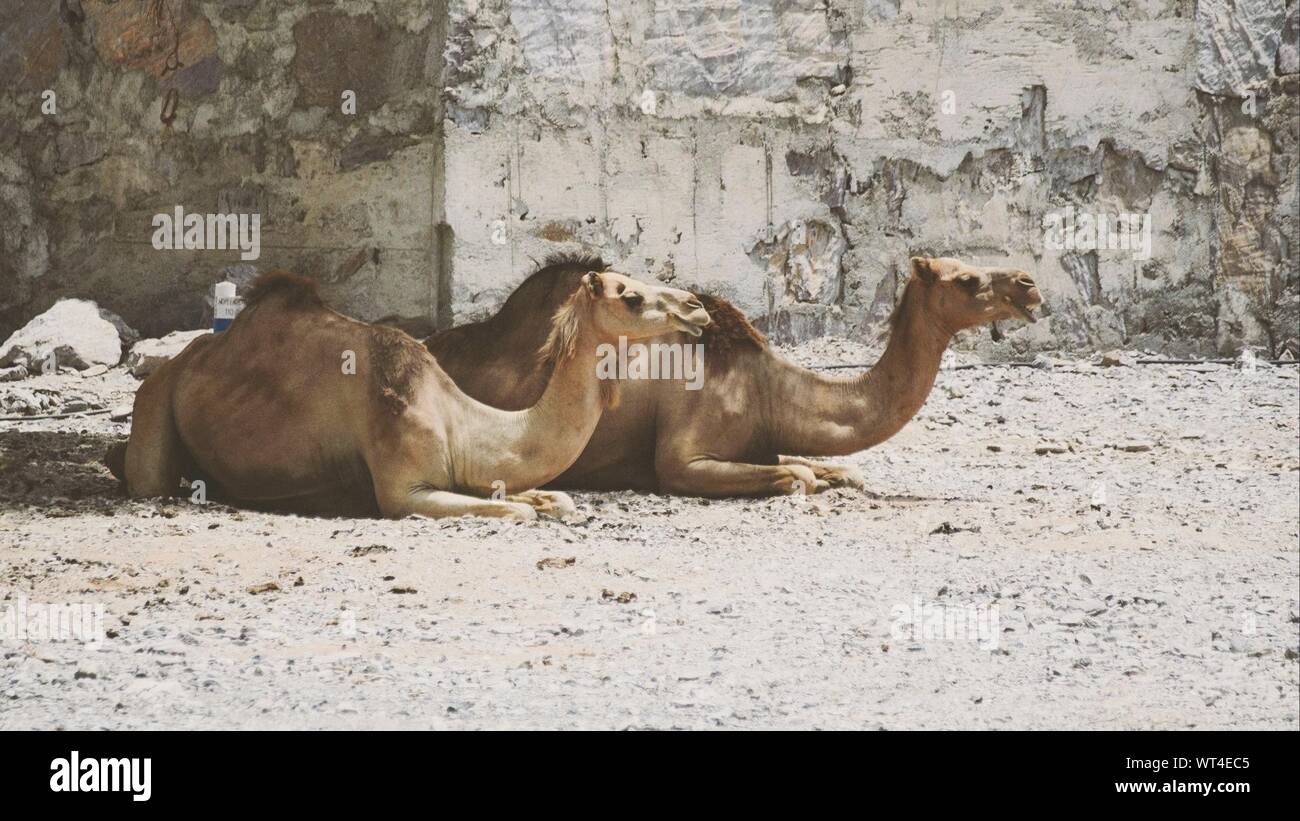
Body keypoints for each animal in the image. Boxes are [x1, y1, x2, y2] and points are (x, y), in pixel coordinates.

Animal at [109, 262, 710, 518]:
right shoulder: (404, 488)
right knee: (148, 475)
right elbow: (518, 515)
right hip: (155, 402)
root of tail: (184, 360)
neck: (460, 420)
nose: (697, 305)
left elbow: (553, 500)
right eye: (629, 295)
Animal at [425, 255, 1042, 497]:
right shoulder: (685, 459)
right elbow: (801, 476)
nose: (1028, 283)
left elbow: (835, 469)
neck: (765, 388)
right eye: (965, 280)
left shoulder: (765, 443)